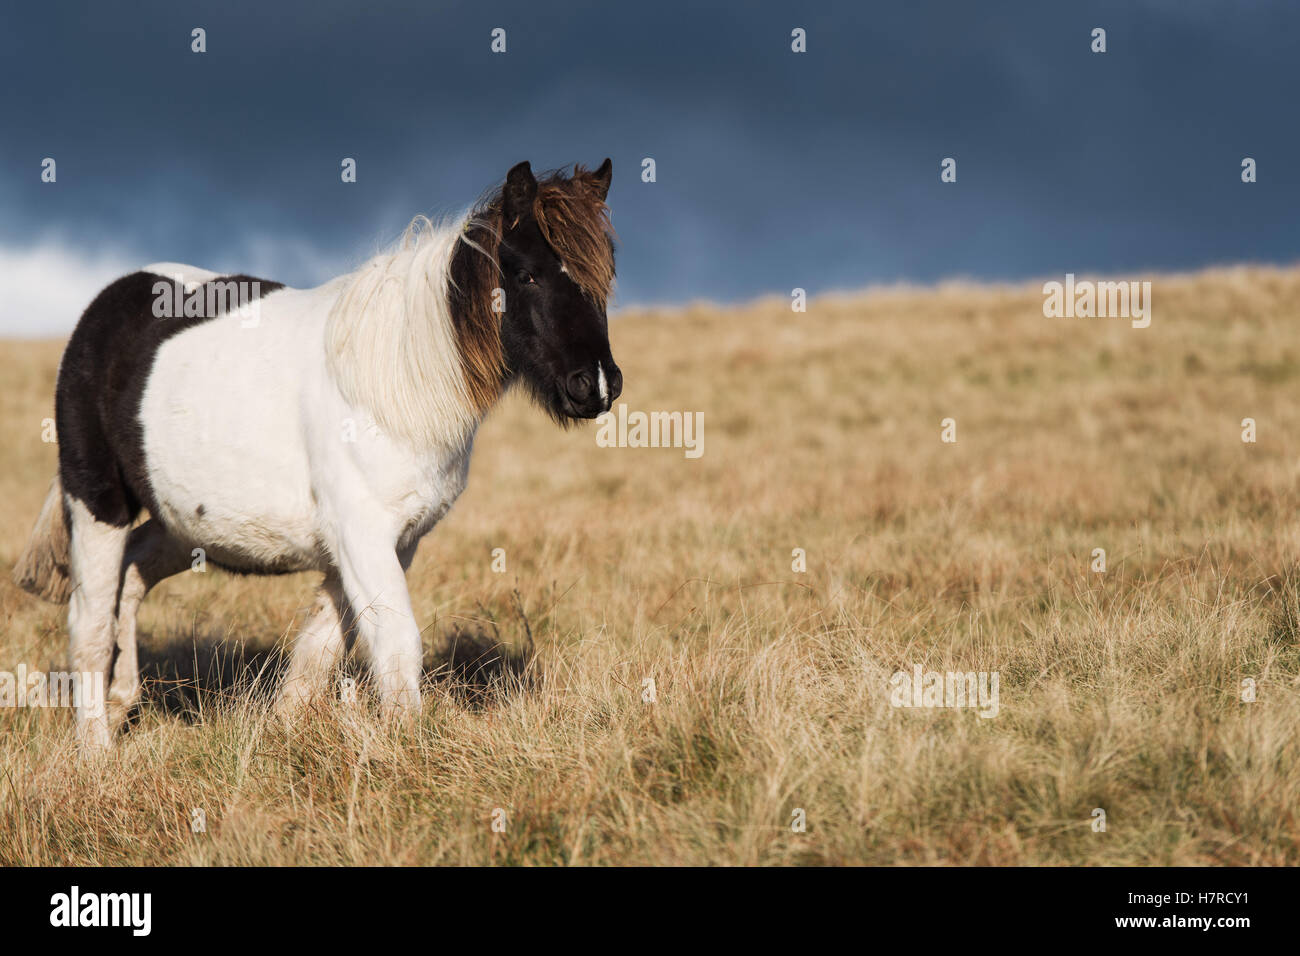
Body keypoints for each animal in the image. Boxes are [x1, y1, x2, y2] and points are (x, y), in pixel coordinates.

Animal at [12, 159, 622, 750]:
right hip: (98, 504)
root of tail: (104, 306)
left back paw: (122, 703)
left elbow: (323, 647)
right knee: (89, 623)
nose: (595, 384)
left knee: (132, 574)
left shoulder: (392, 541)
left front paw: (289, 735)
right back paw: (96, 755)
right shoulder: (361, 532)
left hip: (182, 523)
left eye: (605, 275)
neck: (392, 381)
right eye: (526, 274)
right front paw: (405, 751)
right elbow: (395, 642)